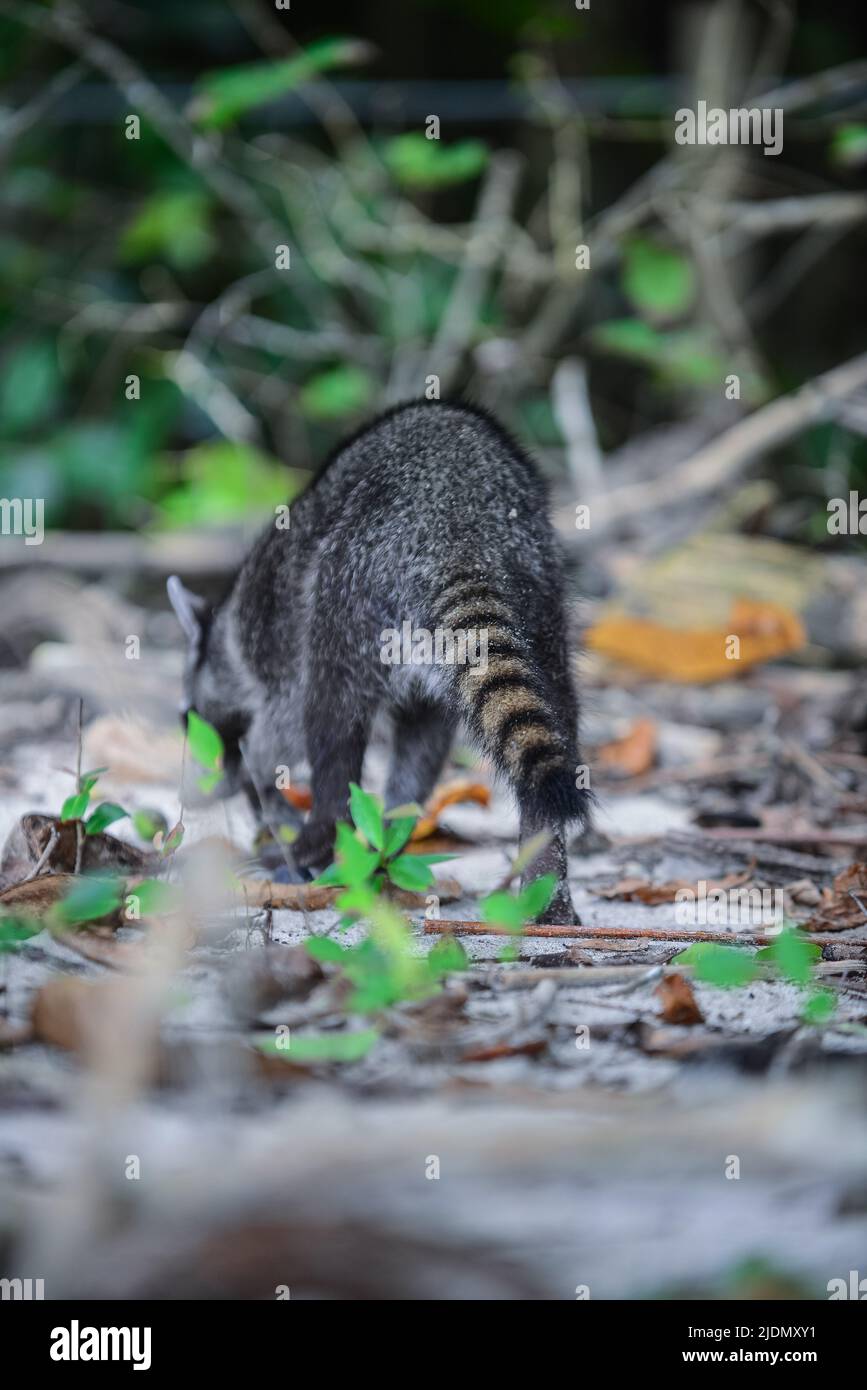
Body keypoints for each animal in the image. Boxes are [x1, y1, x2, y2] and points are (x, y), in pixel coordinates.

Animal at [168, 400, 589, 924]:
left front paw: (262, 791)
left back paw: (318, 838)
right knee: (541, 717)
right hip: (539, 583)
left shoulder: (277, 652)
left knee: (331, 718)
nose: (193, 791)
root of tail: (458, 524)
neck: (227, 640)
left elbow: (274, 737)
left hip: (350, 585)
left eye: (187, 716)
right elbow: (421, 731)